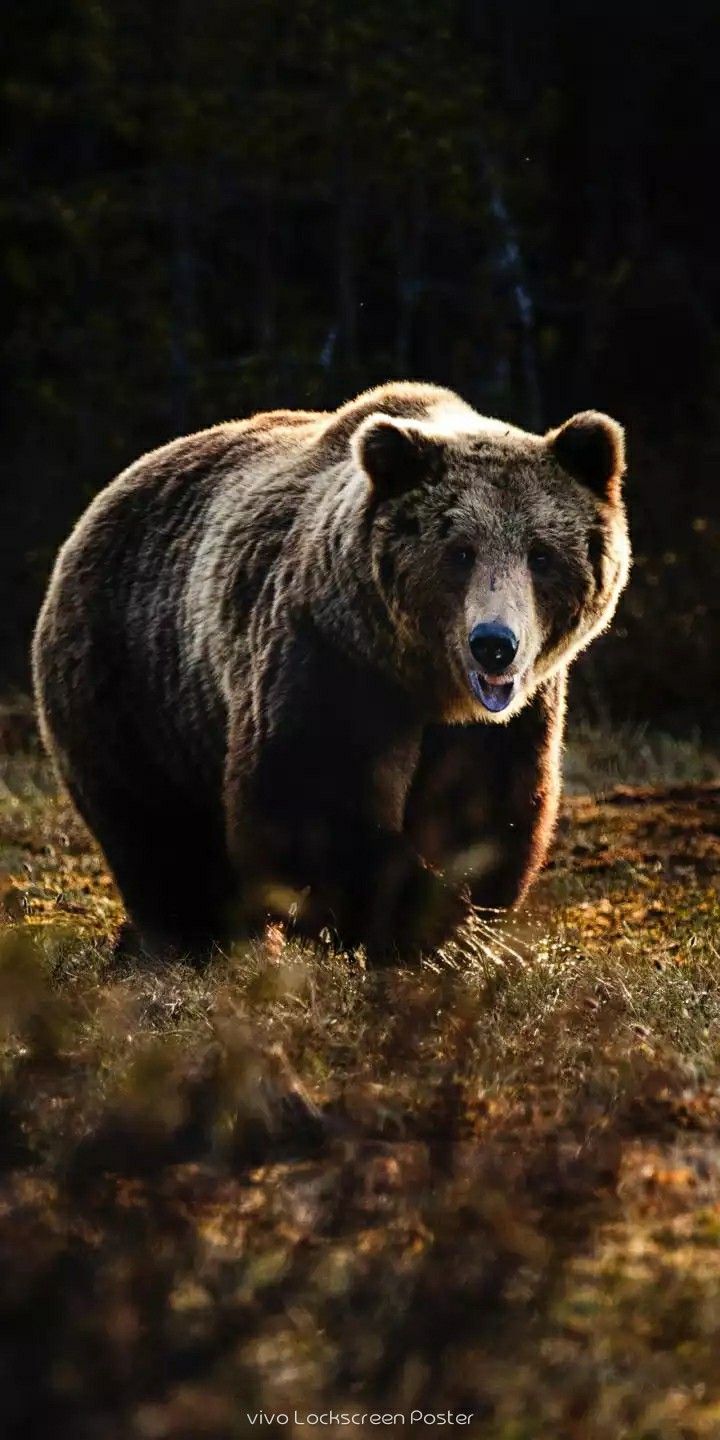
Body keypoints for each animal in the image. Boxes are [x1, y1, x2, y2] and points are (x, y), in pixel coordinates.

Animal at [32, 382, 630, 963]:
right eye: (460, 551)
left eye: (540, 554)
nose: (494, 646)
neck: (425, 681)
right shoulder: (330, 657)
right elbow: (311, 799)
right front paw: (430, 930)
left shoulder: (508, 718)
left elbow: (485, 808)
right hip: (133, 678)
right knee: (159, 830)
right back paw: (194, 939)